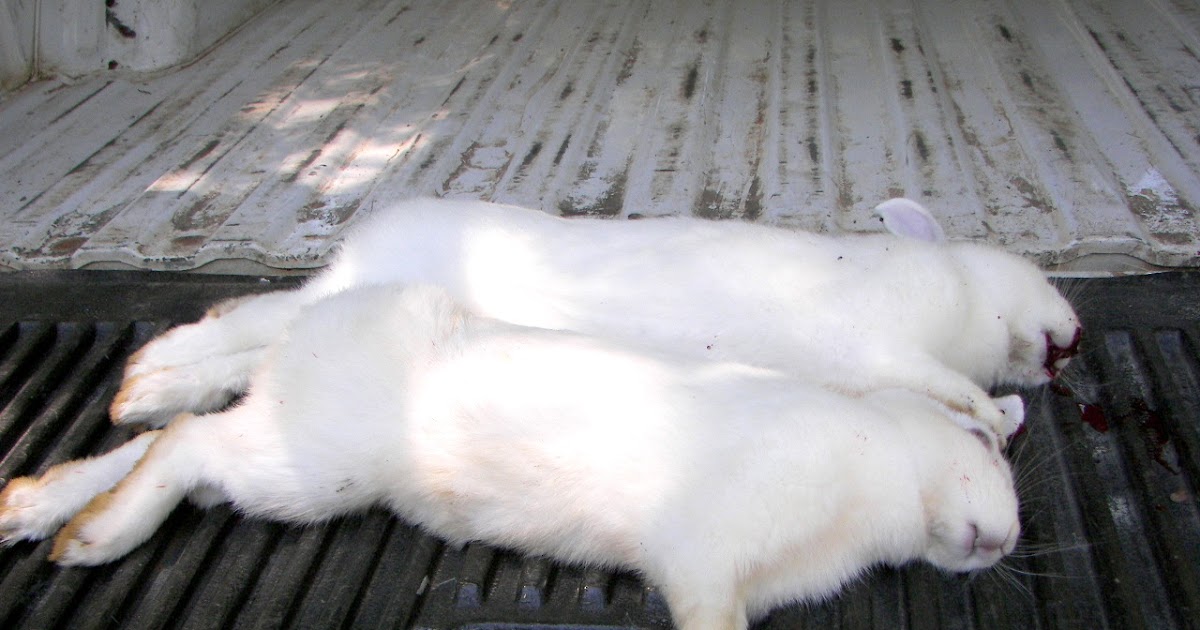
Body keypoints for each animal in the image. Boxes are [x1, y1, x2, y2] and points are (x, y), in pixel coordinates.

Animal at [1, 284, 1024, 630]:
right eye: (984, 449)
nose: (1008, 543)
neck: (885, 470)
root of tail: (307, 331)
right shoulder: (704, 554)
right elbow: (708, 612)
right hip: (312, 469)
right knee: (189, 442)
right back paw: (96, 538)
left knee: (158, 444)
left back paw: (40, 508)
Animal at [109, 197, 1079, 443]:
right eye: (1041, 274)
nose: (1071, 343)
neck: (959, 288)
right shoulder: (882, 345)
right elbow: (944, 385)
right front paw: (996, 415)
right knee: (259, 318)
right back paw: (148, 381)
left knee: (259, 334)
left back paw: (149, 390)